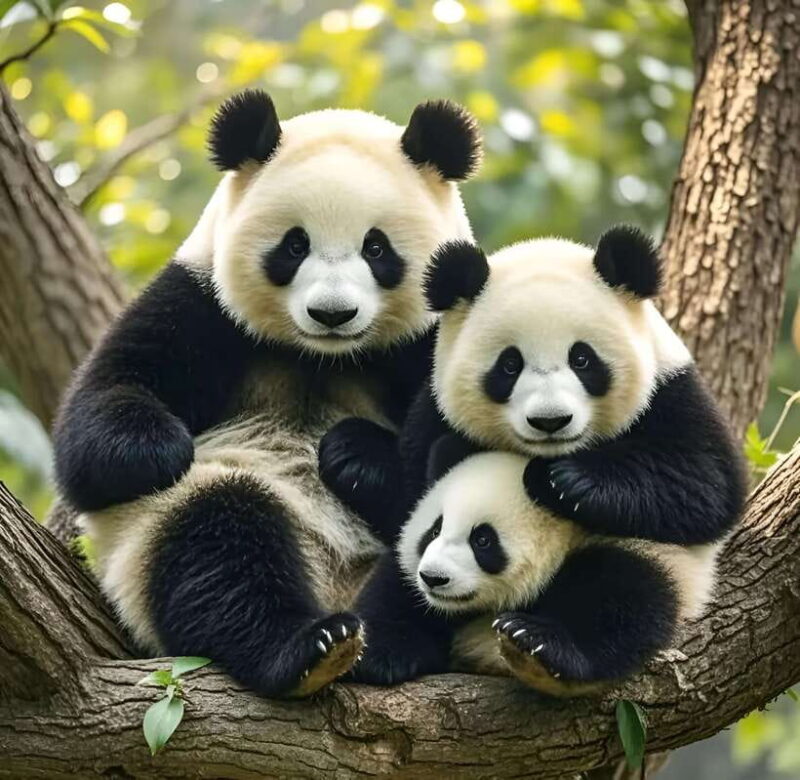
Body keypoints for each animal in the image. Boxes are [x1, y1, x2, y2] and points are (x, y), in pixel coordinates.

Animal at [52, 89, 482, 698]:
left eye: (377, 248)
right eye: (295, 244)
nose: (333, 313)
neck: (321, 358)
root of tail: (336, 594)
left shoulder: (436, 339)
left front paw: (355, 454)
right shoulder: (202, 303)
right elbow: (102, 414)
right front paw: (159, 448)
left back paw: (390, 647)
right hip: (165, 534)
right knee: (218, 547)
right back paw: (307, 647)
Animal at [319, 226, 746, 694]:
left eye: (582, 358)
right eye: (509, 366)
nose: (550, 421)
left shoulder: (671, 392)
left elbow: (705, 486)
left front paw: (567, 483)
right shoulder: (435, 410)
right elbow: (409, 495)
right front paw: (351, 453)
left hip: (652, 562)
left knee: (618, 594)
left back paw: (543, 646)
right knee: (401, 587)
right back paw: (380, 650)